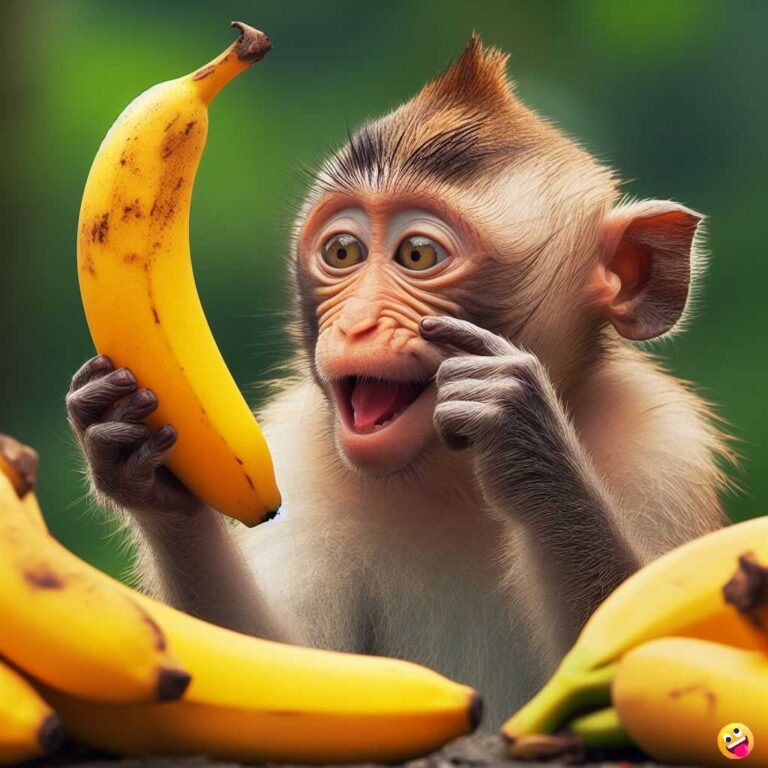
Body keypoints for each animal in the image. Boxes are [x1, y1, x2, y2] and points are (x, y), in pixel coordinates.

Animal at [65, 37, 732, 727]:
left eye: (417, 255)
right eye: (342, 252)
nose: (356, 322)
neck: (449, 476)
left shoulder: (659, 444)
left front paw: (526, 442)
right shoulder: (301, 457)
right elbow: (289, 673)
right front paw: (138, 465)